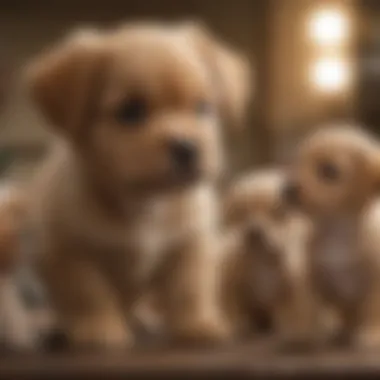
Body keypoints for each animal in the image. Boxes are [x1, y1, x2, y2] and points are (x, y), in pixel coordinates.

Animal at [284, 125, 380, 348]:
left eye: (329, 171)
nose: (288, 188)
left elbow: (373, 308)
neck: (336, 230)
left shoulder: (375, 282)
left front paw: (372, 333)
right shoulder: (311, 278)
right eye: (296, 162)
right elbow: (306, 306)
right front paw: (302, 333)